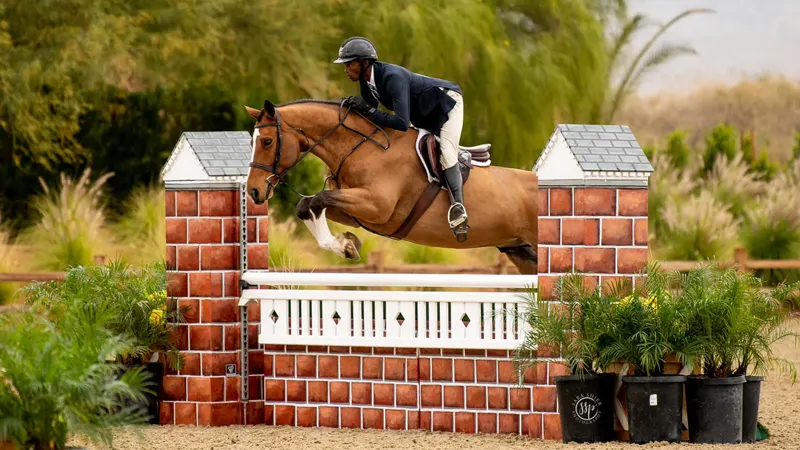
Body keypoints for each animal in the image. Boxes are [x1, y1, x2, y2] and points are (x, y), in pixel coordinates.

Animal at [244, 99, 539, 275]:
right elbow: (307, 204)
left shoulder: (377, 206)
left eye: (267, 141)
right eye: (251, 142)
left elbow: (317, 200)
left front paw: (344, 246)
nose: (254, 191)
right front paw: (348, 243)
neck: (361, 148)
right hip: (521, 252)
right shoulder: (356, 210)